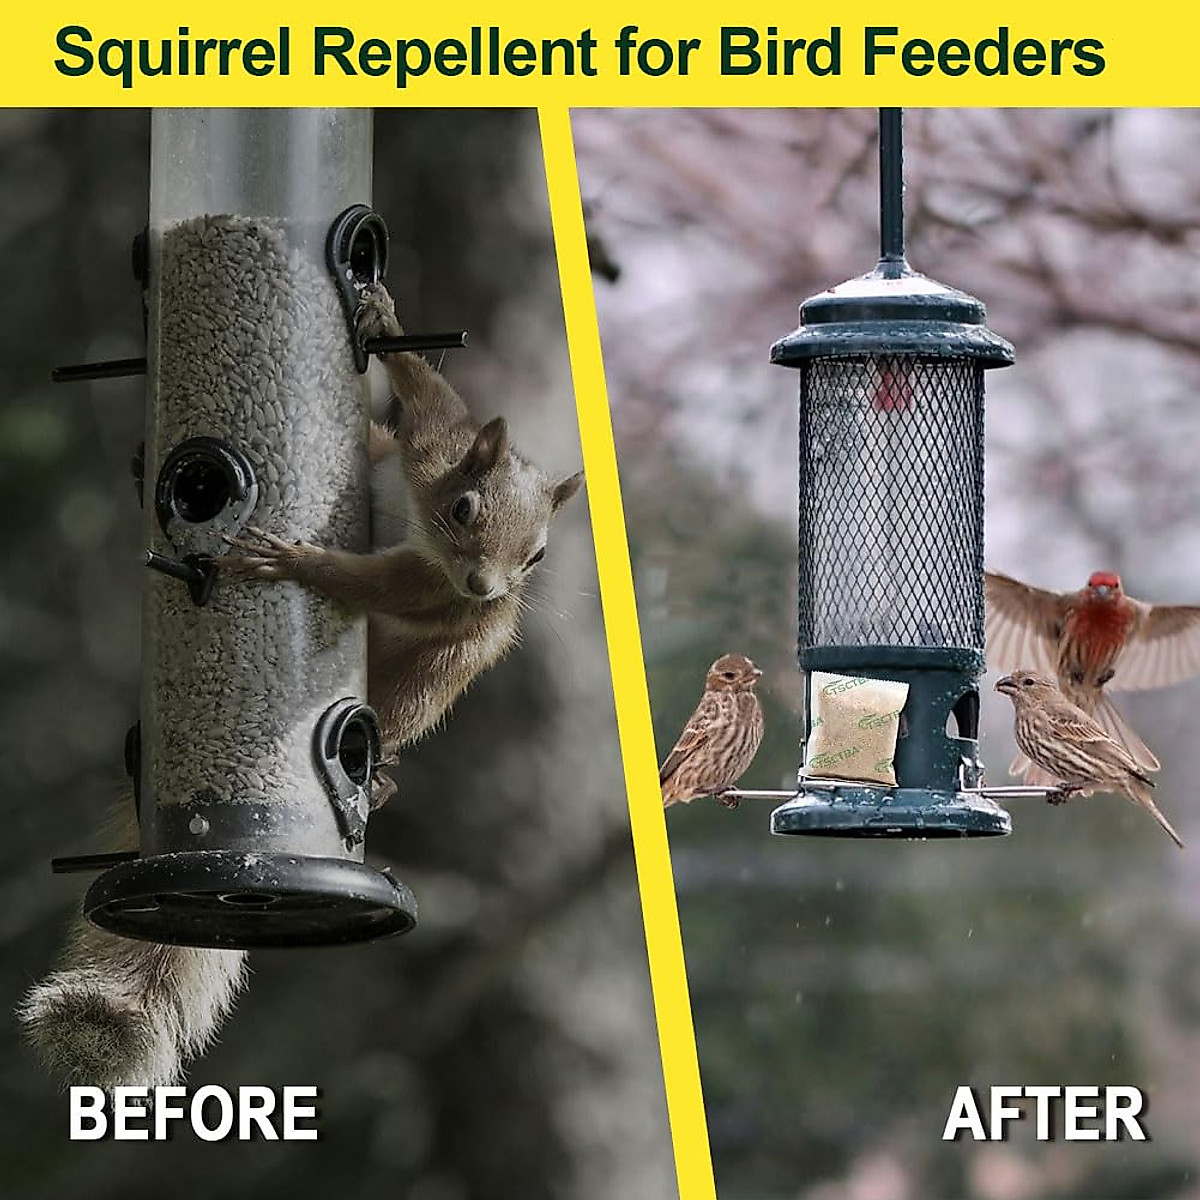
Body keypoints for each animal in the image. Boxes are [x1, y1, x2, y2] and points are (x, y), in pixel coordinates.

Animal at [19, 282, 583, 1089]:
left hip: (422, 680)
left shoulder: (428, 587)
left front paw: (293, 562)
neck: (419, 521)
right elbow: (432, 399)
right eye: (465, 508)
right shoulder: (432, 449)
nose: (484, 589)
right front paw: (381, 318)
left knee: (388, 720)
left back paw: (377, 777)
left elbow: (372, 582)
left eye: (537, 555)